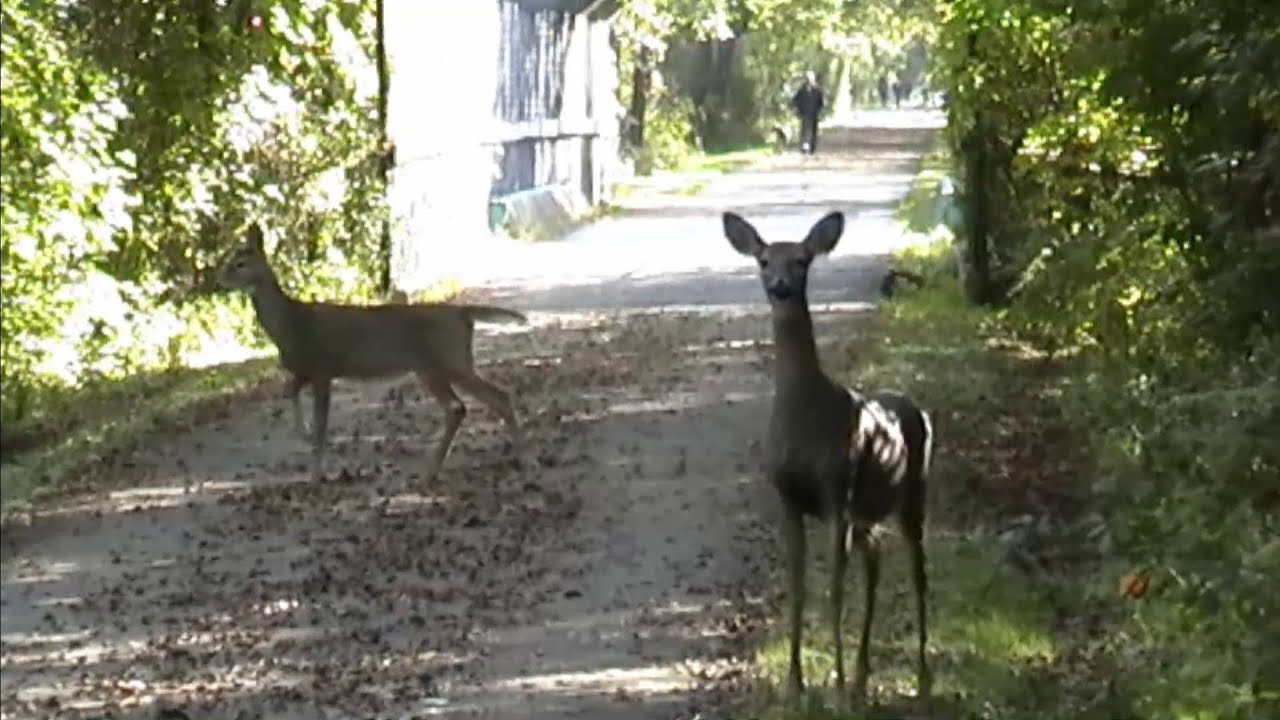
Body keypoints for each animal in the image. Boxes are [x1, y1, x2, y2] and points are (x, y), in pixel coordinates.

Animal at [219, 223, 527, 483]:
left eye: (239, 264)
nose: (218, 279)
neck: (289, 323)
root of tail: (463, 313)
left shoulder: (322, 368)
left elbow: (321, 424)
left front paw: (316, 474)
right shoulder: (306, 370)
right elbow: (290, 392)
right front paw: (302, 434)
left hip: (448, 361)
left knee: (495, 398)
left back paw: (521, 459)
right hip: (433, 367)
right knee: (460, 407)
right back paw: (433, 471)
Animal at [722, 210, 935, 703]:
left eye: (802, 259)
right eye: (763, 259)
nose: (780, 285)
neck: (804, 412)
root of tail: (916, 407)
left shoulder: (837, 491)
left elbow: (835, 591)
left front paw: (832, 688)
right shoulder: (788, 499)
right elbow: (798, 590)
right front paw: (795, 685)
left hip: (914, 491)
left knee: (918, 572)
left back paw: (919, 677)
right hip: (869, 512)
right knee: (875, 566)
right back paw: (861, 679)